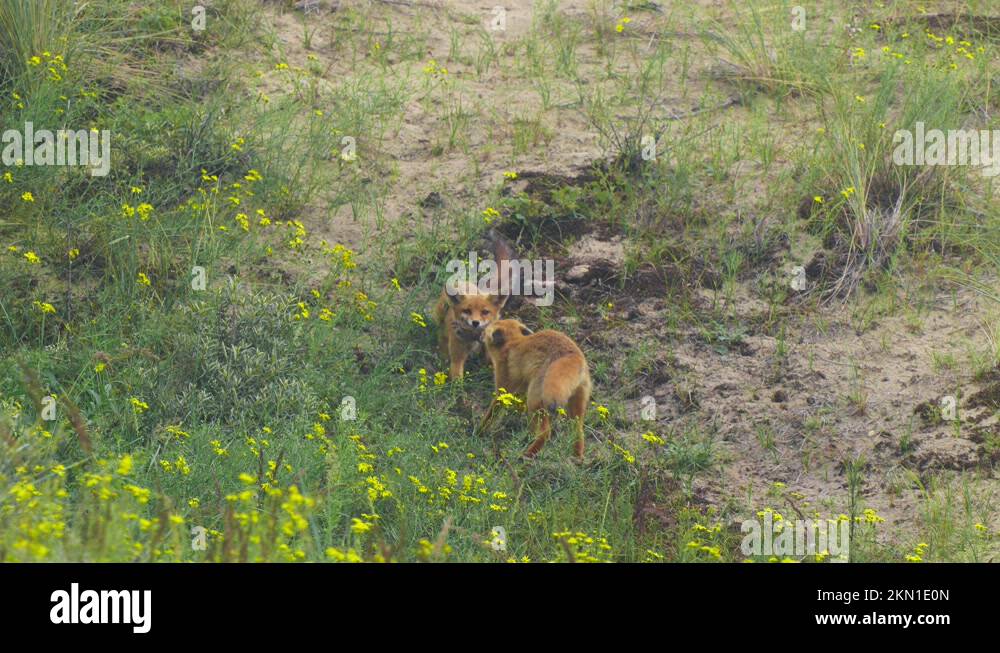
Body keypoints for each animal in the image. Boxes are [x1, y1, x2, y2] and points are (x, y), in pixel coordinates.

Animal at [433, 230, 517, 382]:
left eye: (485, 312)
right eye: (467, 310)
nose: (475, 323)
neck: (474, 338)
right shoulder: (457, 357)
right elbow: (457, 378)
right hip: (440, 313)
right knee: (441, 335)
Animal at [477, 319, 592, 460]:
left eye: (485, 329)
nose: (479, 333)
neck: (512, 342)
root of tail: (573, 355)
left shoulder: (504, 387)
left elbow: (493, 411)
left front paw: (479, 430)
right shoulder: (521, 387)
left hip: (534, 401)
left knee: (545, 433)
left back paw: (528, 454)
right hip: (576, 406)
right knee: (578, 430)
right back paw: (577, 456)